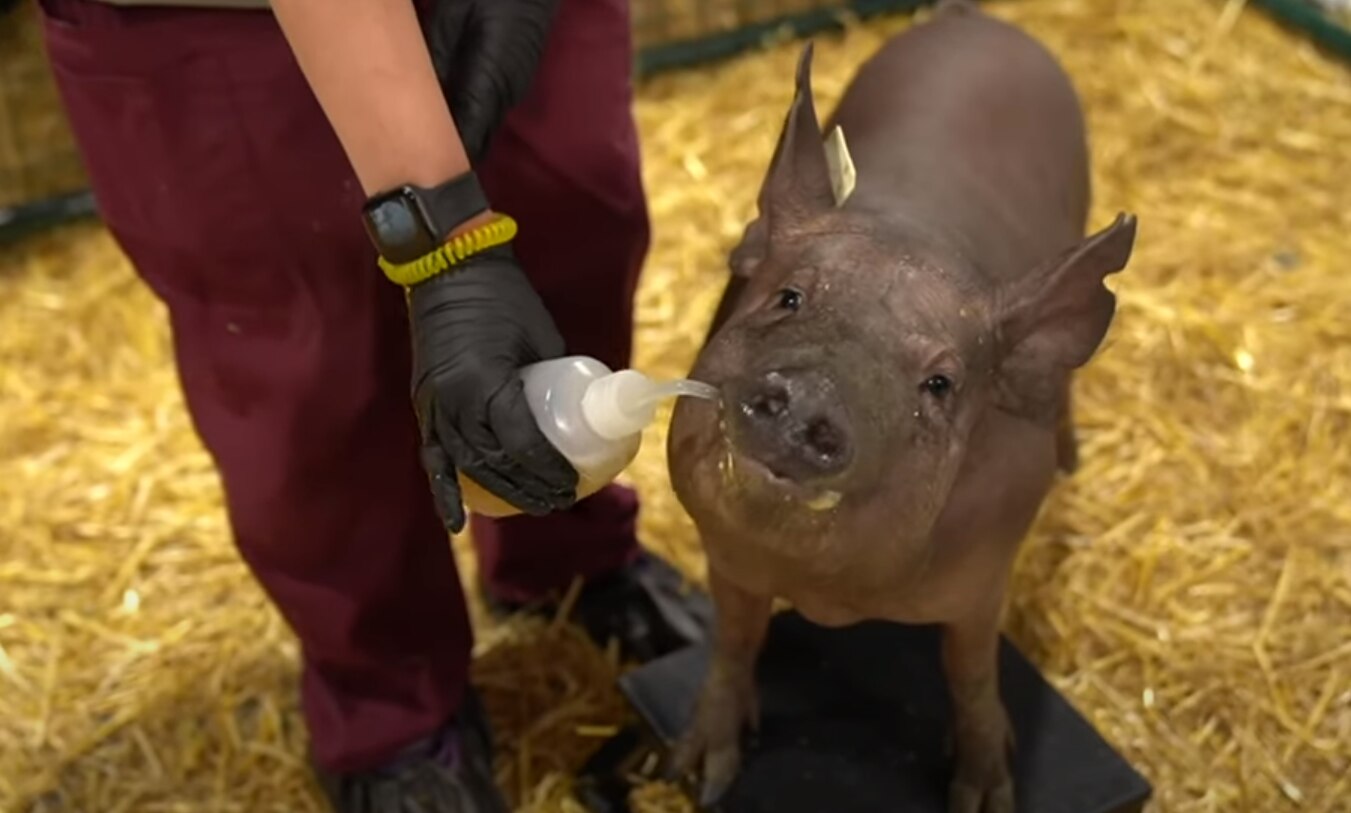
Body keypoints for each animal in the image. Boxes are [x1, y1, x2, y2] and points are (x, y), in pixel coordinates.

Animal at [665, 2, 1138, 811]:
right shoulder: (728, 558)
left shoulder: (983, 579)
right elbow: (733, 642)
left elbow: (970, 672)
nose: (812, 397)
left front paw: (985, 795)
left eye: (940, 383)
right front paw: (702, 774)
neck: (832, 594)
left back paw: (1072, 459)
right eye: (789, 298)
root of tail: (978, 24)